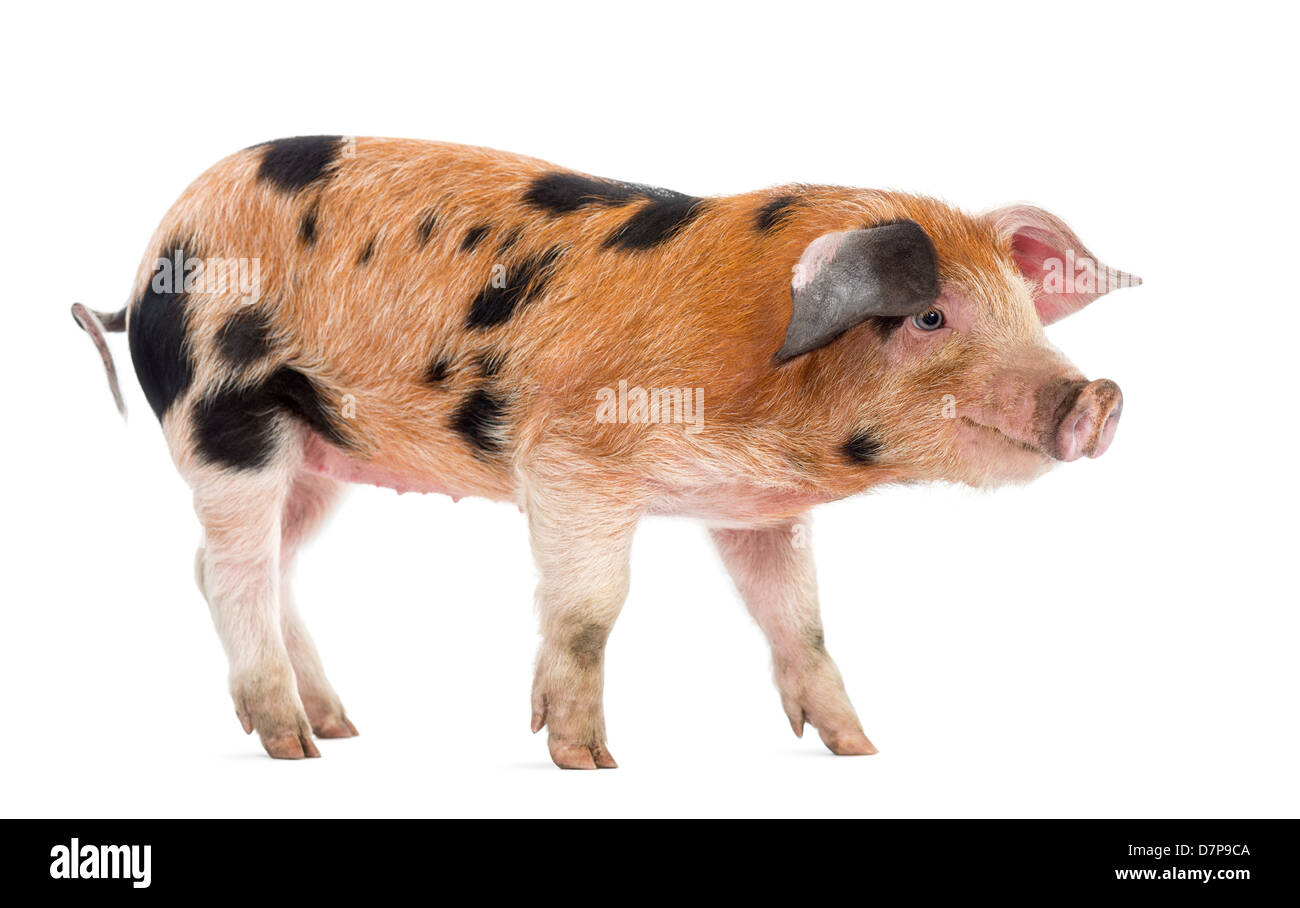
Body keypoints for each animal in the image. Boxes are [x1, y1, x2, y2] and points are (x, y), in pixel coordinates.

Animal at [72, 136, 1139, 768]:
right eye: (929, 317)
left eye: (1021, 307)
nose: (1097, 398)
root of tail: (148, 261)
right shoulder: (572, 461)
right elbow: (590, 610)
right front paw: (589, 761)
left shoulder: (754, 506)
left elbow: (799, 623)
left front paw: (861, 751)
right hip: (228, 417)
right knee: (235, 572)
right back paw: (296, 748)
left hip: (320, 455)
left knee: (238, 566)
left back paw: (343, 725)